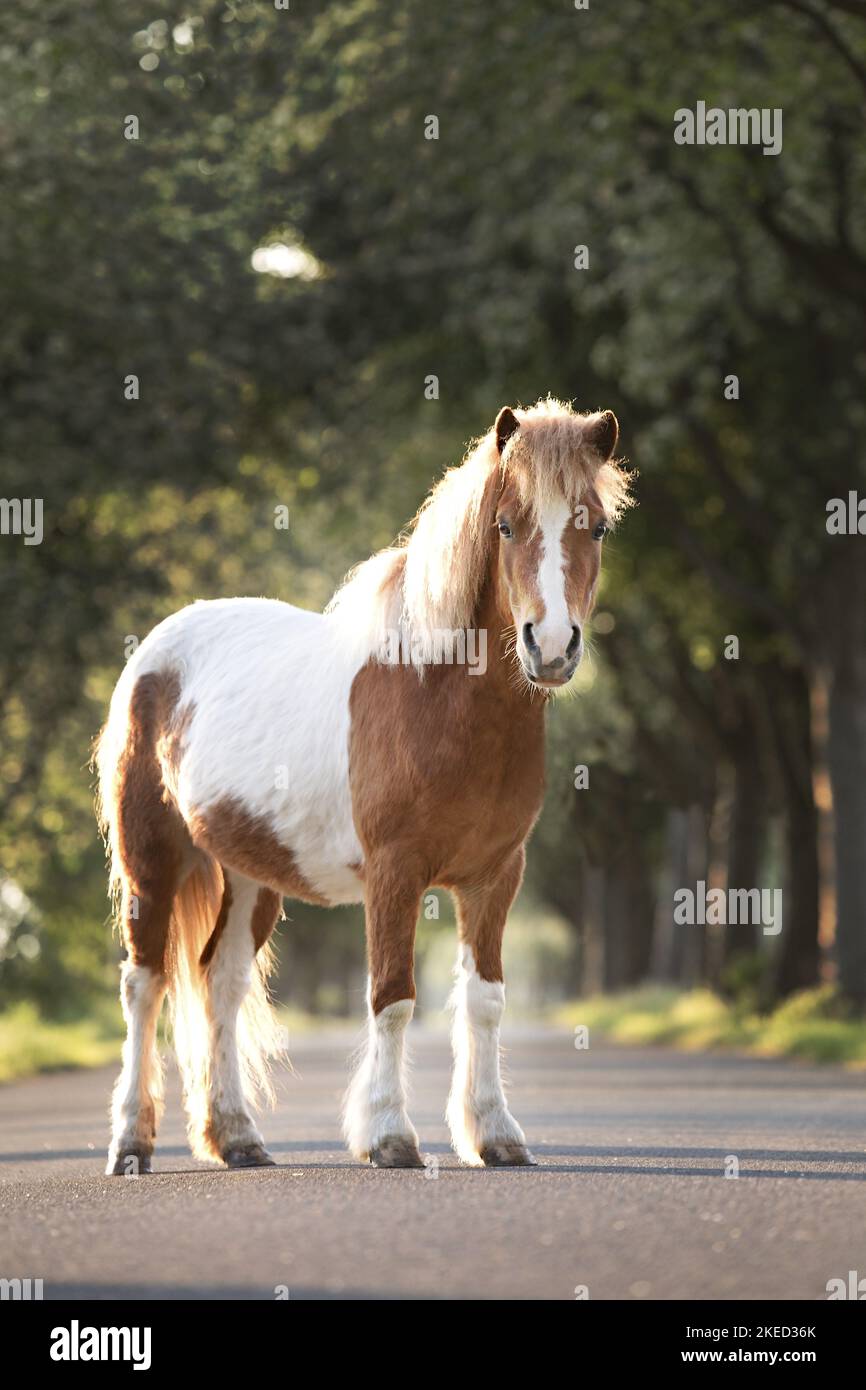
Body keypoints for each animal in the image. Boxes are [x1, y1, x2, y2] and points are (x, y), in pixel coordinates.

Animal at [96, 397, 631, 1174]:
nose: (552, 646)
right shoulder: (394, 874)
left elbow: (486, 1000)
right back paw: (130, 1143)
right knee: (145, 985)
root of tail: (154, 654)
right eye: (506, 524)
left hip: (250, 874)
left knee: (220, 981)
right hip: (151, 861)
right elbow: (392, 996)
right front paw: (389, 1136)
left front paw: (495, 1134)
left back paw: (238, 1137)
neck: (437, 695)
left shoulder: (496, 875)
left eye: (597, 525)